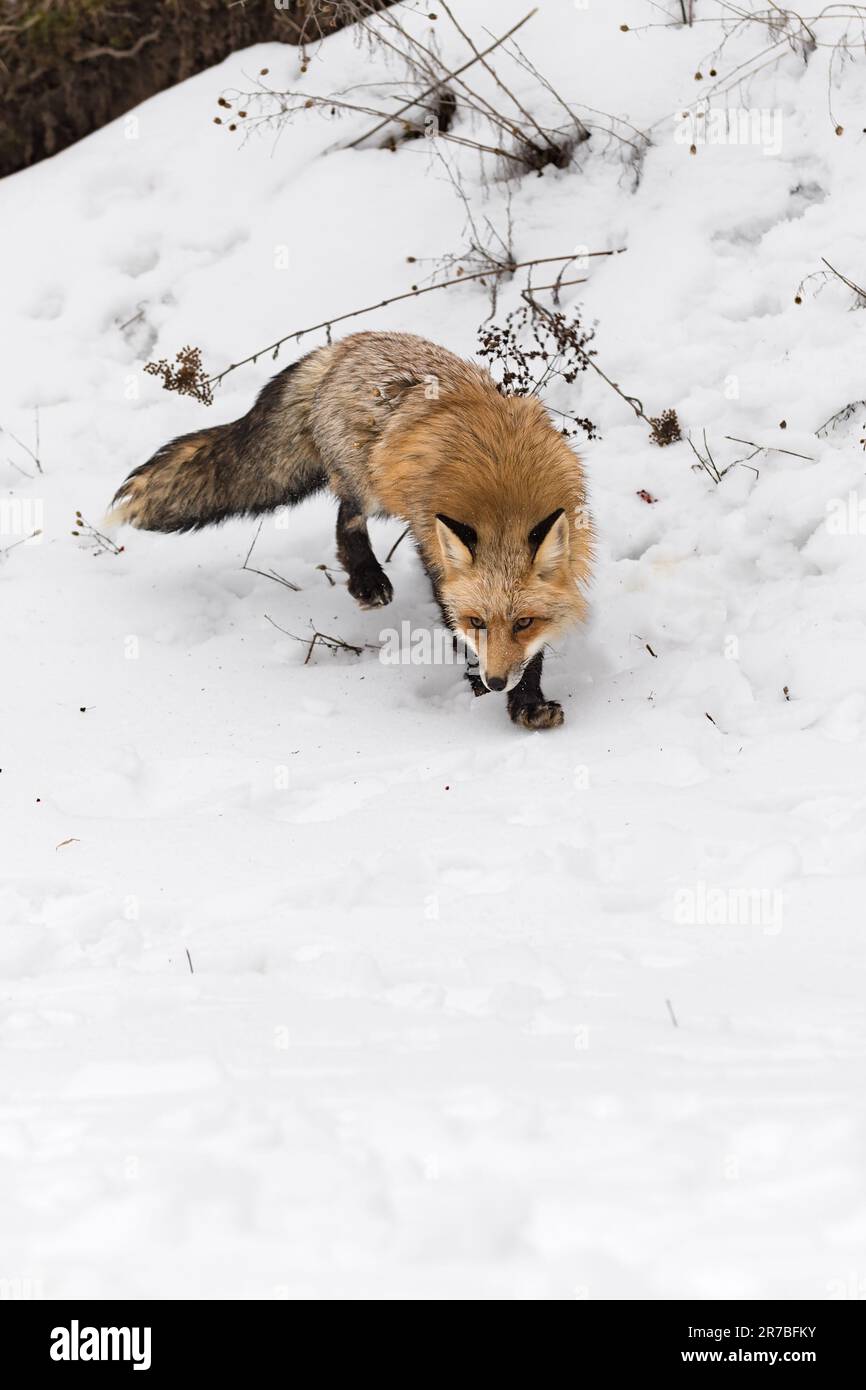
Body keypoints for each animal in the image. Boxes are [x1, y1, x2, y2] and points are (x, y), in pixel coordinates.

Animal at [109, 331, 592, 728]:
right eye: (477, 621)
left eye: (524, 622)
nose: (494, 682)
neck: (504, 499)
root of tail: (345, 344)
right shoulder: (431, 542)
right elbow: (448, 610)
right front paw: (486, 680)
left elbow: (534, 650)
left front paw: (527, 701)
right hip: (368, 485)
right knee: (346, 519)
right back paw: (366, 579)